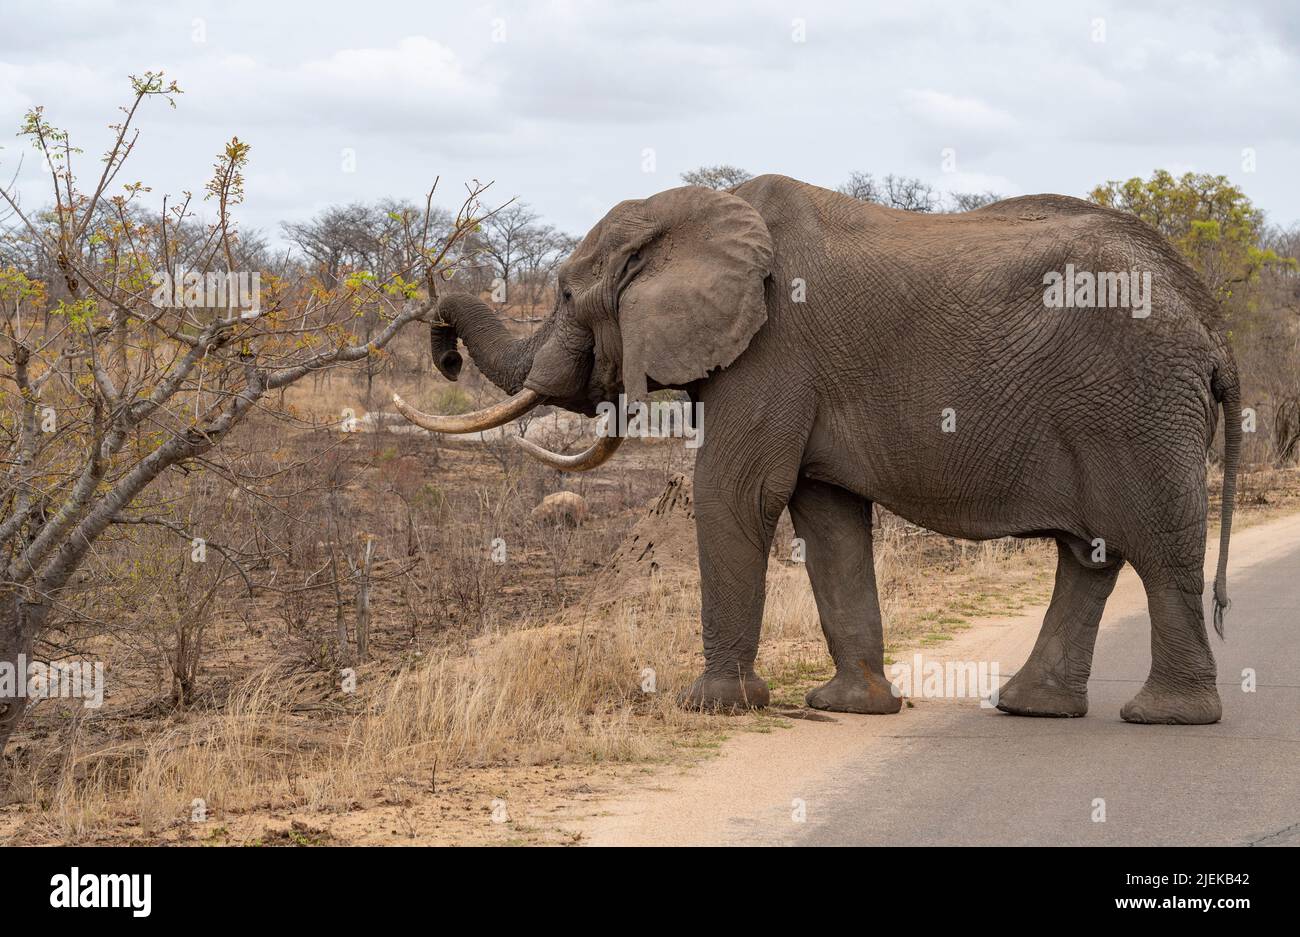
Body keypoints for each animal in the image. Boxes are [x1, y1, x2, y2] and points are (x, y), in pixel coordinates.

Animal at [395, 174, 1241, 725]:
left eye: (569, 294)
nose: (441, 349)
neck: (699, 211)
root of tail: (1212, 325)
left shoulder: (773, 350)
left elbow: (736, 492)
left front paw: (711, 706)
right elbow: (827, 519)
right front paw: (848, 707)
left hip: (1137, 402)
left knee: (1159, 547)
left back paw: (1166, 716)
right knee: (1090, 554)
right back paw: (1033, 708)